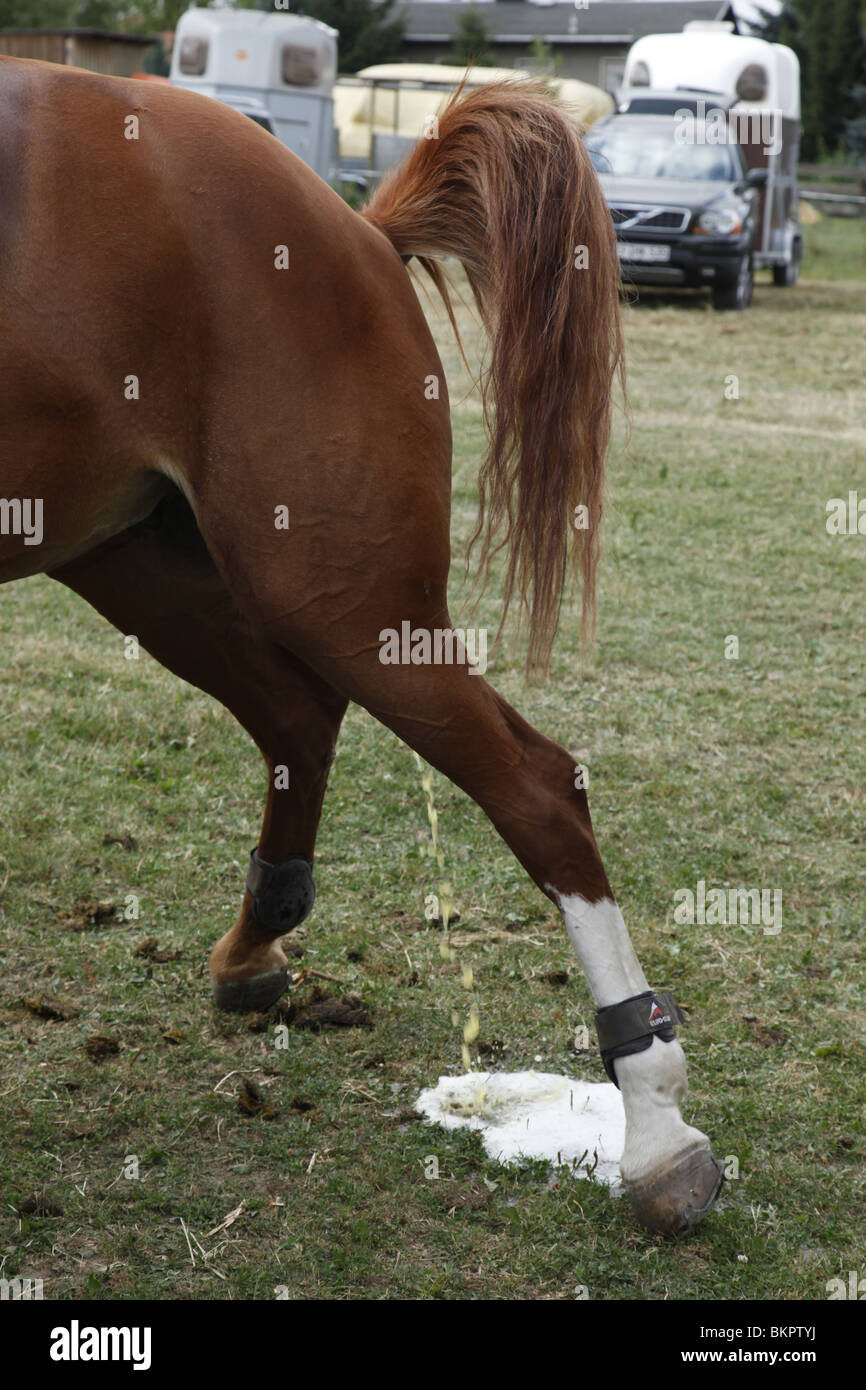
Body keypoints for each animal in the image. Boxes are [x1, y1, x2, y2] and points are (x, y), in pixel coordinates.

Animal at [0, 55, 723, 1235]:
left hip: (331, 587)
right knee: (300, 712)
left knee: (535, 782)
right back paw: (255, 949)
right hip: (146, 560)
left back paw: (657, 1127)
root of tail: (357, 230)